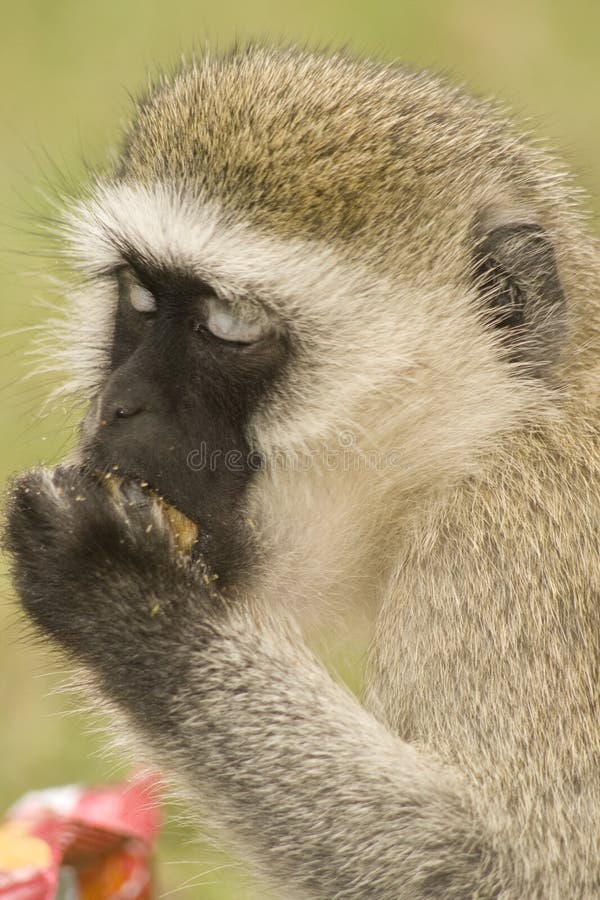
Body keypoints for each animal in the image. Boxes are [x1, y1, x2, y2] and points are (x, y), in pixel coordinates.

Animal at [4, 45, 600, 898]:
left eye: (228, 325)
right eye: (142, 299)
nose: (116, 407)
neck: (489, 434)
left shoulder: (512, 551)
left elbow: (511, 870)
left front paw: (123, 593)